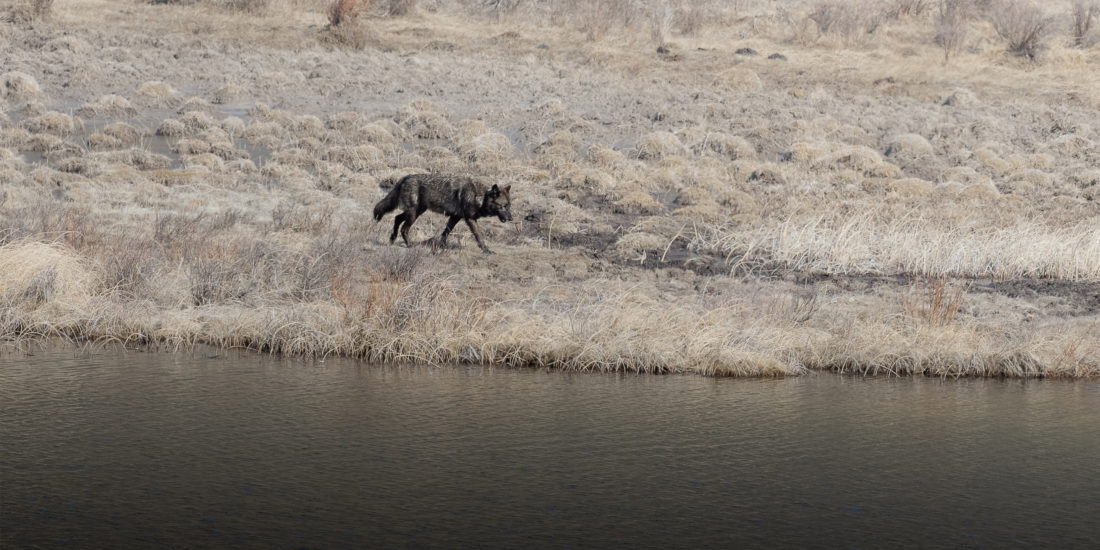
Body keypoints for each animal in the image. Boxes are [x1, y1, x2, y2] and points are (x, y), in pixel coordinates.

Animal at [372, 174, 513, 254]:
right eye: (503, 206)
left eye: (509, 206)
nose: (511, 218)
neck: (479, 196)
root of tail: (404, 178)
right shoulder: (470, 219)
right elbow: (479, 236)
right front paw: (486, 250)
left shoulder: (455, 217)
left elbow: (446, 232)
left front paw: (441, 246)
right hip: (413, 214)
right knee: (404, 229)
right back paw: (410, 245)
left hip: (417, 212)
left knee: (397, 218)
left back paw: (392, 239)